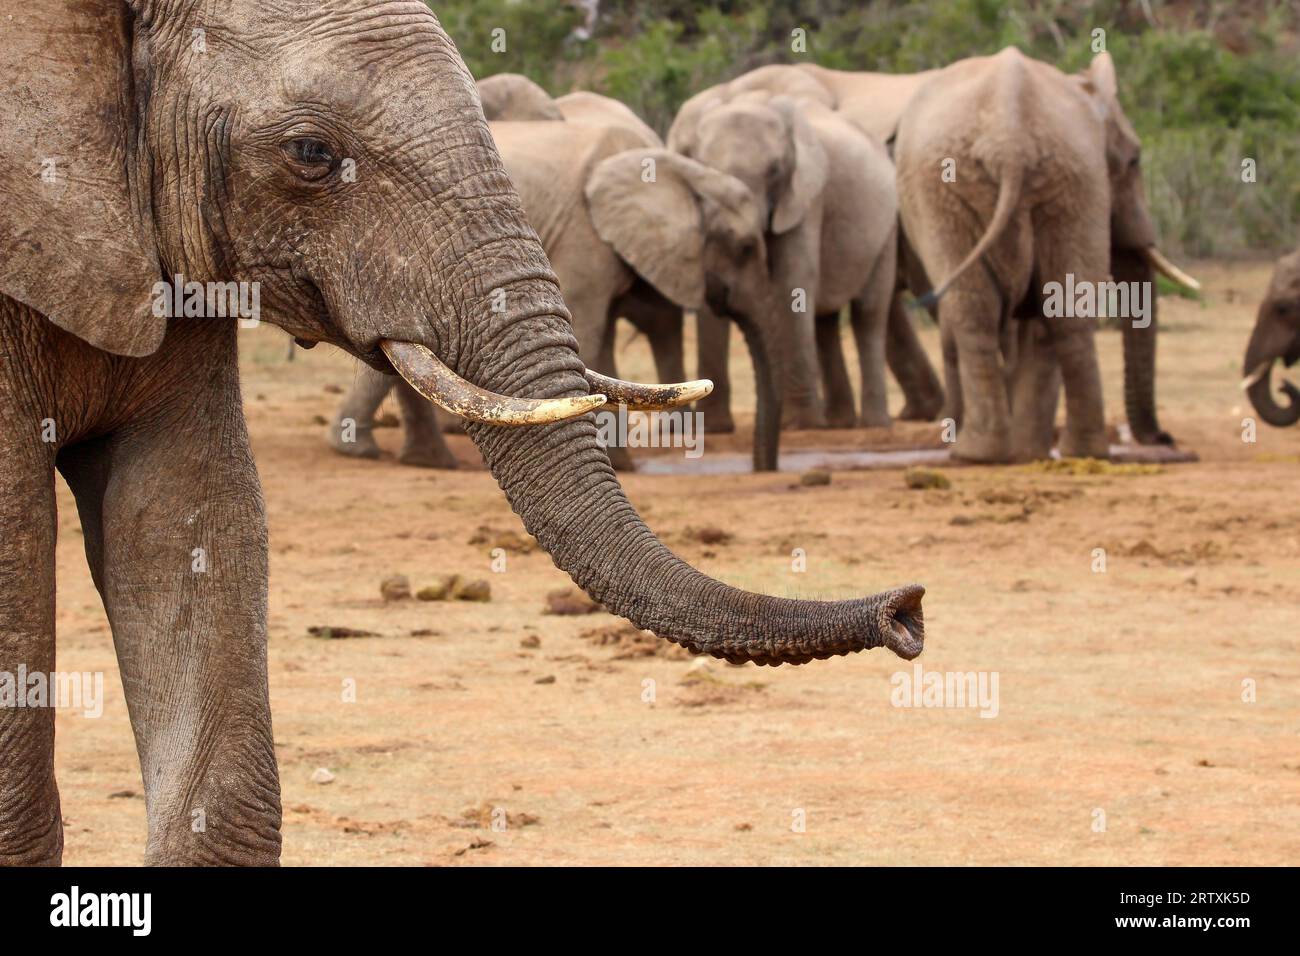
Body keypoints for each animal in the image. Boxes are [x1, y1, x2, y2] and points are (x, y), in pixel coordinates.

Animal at [669, 68, 947, 429]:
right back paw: (843, 421)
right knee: (826, 321)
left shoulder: (806, 198)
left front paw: (800, 424)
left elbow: (794, 279)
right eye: (701, 167)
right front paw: (715, 429)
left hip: (887, 222)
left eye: (774, 170)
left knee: (868, 312)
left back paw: (874, 423)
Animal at [893, 48, 1200, 462]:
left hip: (1040, 183)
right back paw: (1033, 452)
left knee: (1002, 310)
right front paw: (1029, 451)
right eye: (1135, 160)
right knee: (1039, 310)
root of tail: (1009, 136)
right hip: (1026, 185)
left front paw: (1028, 452)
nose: (1165, 438)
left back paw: (993, 452)